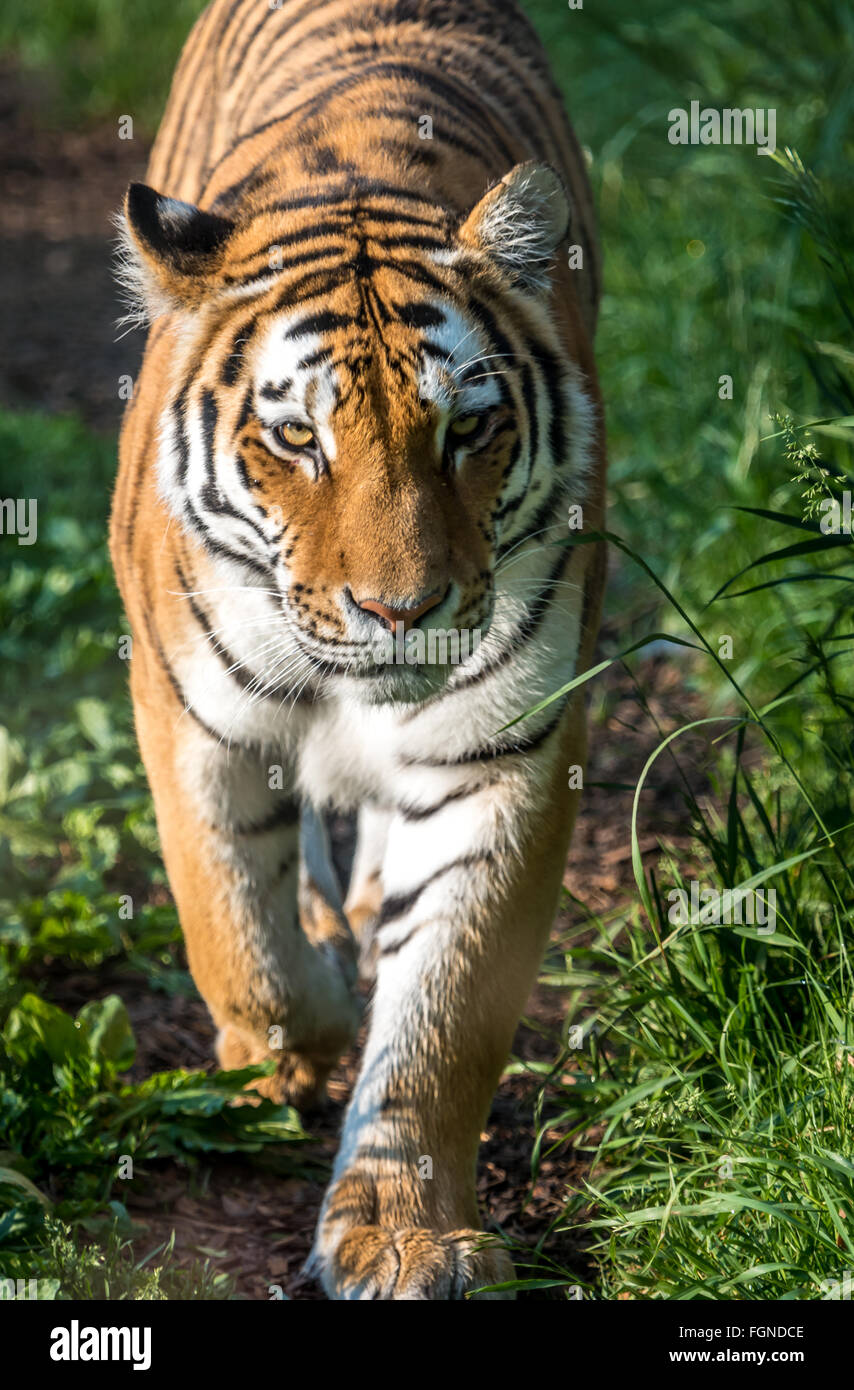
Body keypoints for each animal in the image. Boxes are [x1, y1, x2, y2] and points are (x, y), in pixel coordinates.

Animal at [110, 0, 606, 1300]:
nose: (402, 609)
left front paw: (401, 1230)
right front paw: (290, 1051)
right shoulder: (189, 718)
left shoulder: (505, 753)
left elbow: (444, 1018)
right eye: (296, 439)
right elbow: (236, 930)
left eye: (467, 429)